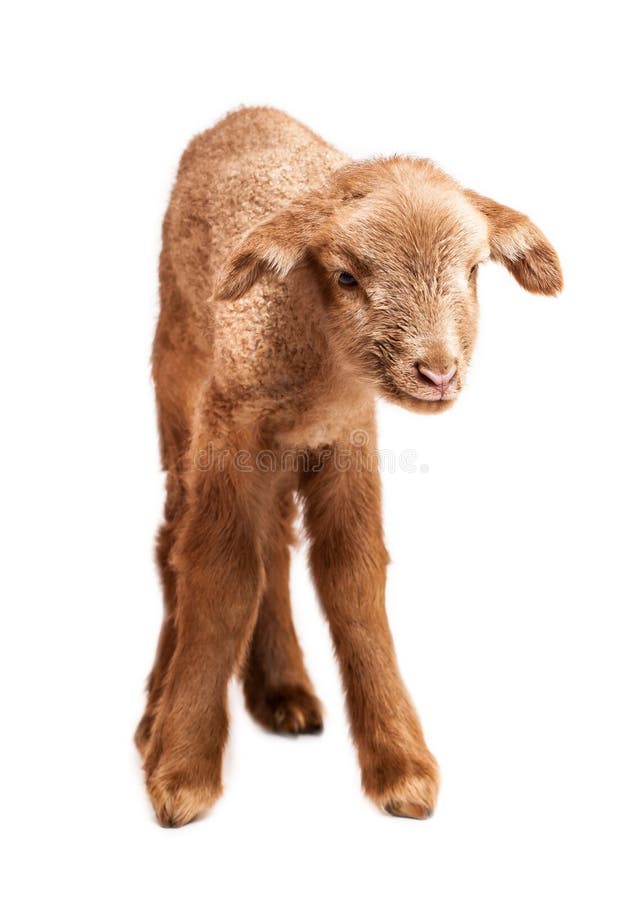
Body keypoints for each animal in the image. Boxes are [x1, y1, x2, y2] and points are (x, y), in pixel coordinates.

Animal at [135, 106, 563, 827]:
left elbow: (352, 576)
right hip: (177, 378)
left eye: (475, 272)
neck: (318, 368)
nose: (438, 373)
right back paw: (154, 716)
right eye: (346, 277)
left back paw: (283, 692)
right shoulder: (227, 431)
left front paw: (401, 765)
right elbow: (219, 571)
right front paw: (182, 769)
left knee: (273, 544)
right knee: (176, 535)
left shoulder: (349, 441)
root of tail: (243, 113)